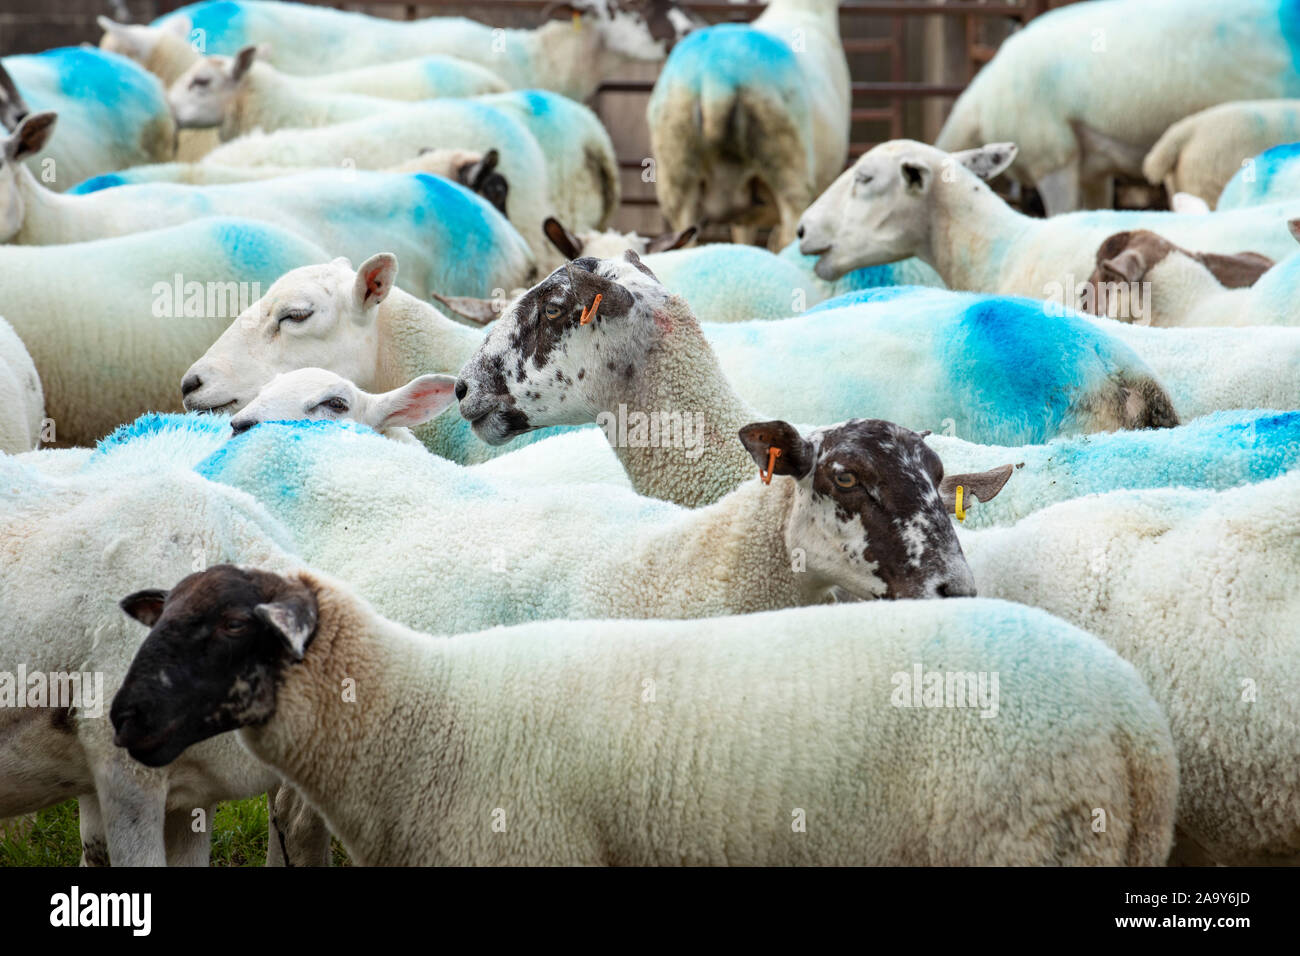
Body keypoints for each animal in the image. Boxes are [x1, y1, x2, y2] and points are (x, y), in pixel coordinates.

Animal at [112, 564, 1178, 866]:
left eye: (224, 630)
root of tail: (1138, 731)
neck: (421, 719)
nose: (122, 719)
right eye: (158, 617)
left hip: (1020, 843)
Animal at [647, 0, 849, 248]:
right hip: (790, 169)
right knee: (788, 237)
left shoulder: (745, 216)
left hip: (676, 170)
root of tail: (718, 76)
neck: (804, 10)